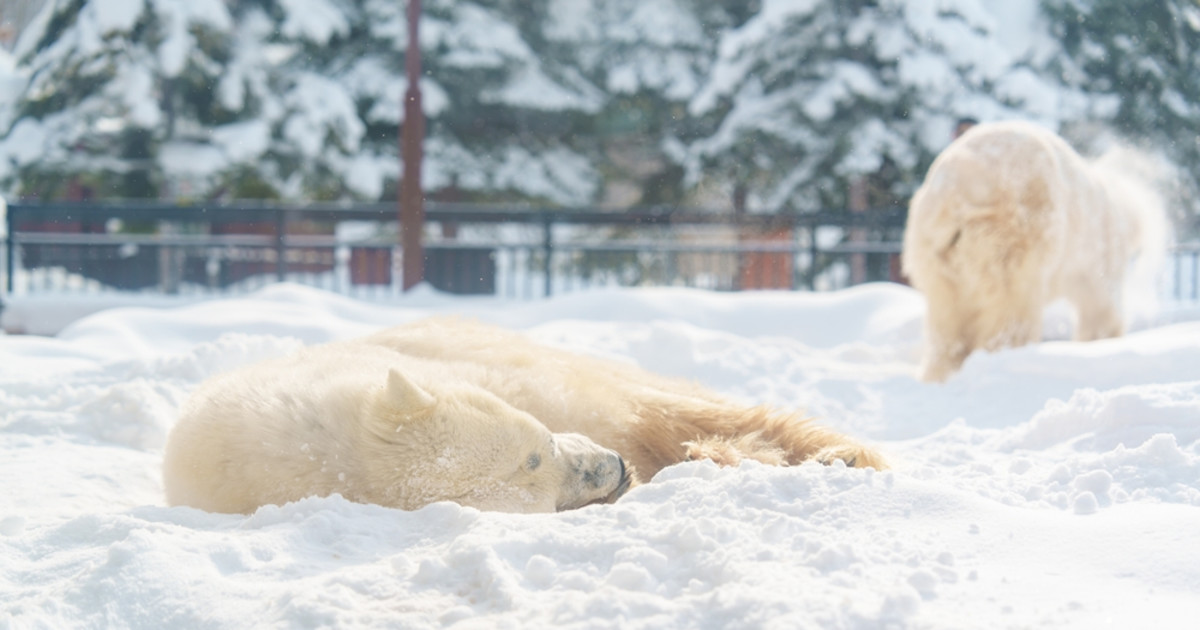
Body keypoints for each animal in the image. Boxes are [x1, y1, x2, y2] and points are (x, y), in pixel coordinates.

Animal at [901, 121, 1169, 382]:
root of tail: (956, 192)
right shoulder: (1095, 254)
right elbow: (1100, 304)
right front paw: (1101, 341)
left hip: (934, 248)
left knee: (947, 317)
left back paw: (940, 373)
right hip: (1014, 231)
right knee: (1011, 306)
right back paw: (1002, 359)